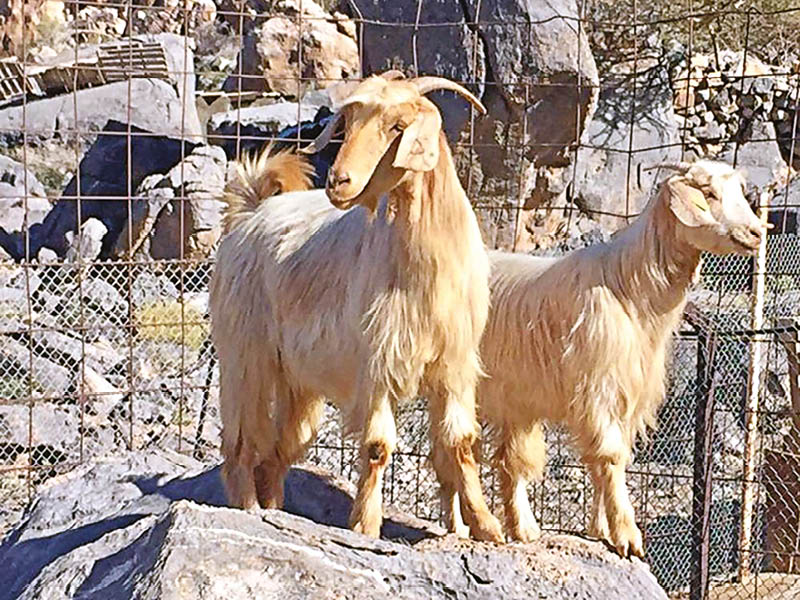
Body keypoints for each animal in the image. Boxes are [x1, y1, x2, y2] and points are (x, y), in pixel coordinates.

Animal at [209, 73, 504, 542]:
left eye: (398, 126)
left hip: (298, 383)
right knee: (240, 439)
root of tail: (252, 211)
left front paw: (485, 525)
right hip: (245, 355)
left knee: (279, 449)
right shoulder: (377, 363)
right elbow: (378, 446)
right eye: (348, 122)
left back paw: (274, 508)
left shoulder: (454, 366)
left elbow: (460, 445)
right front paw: (365, 524)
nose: (338, 181)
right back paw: (249, 508)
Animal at [439, 160, 768, 557]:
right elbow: (609, 456)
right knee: (456, 447)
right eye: (708, 193)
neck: (628, 284)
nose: (756, 232)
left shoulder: (628, 395)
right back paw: (466, 527)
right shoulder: (600, 386)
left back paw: (514, 529)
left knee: (501, 459)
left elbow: (606, 459)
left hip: (513, 399)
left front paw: (601, 530)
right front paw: (627, 536)